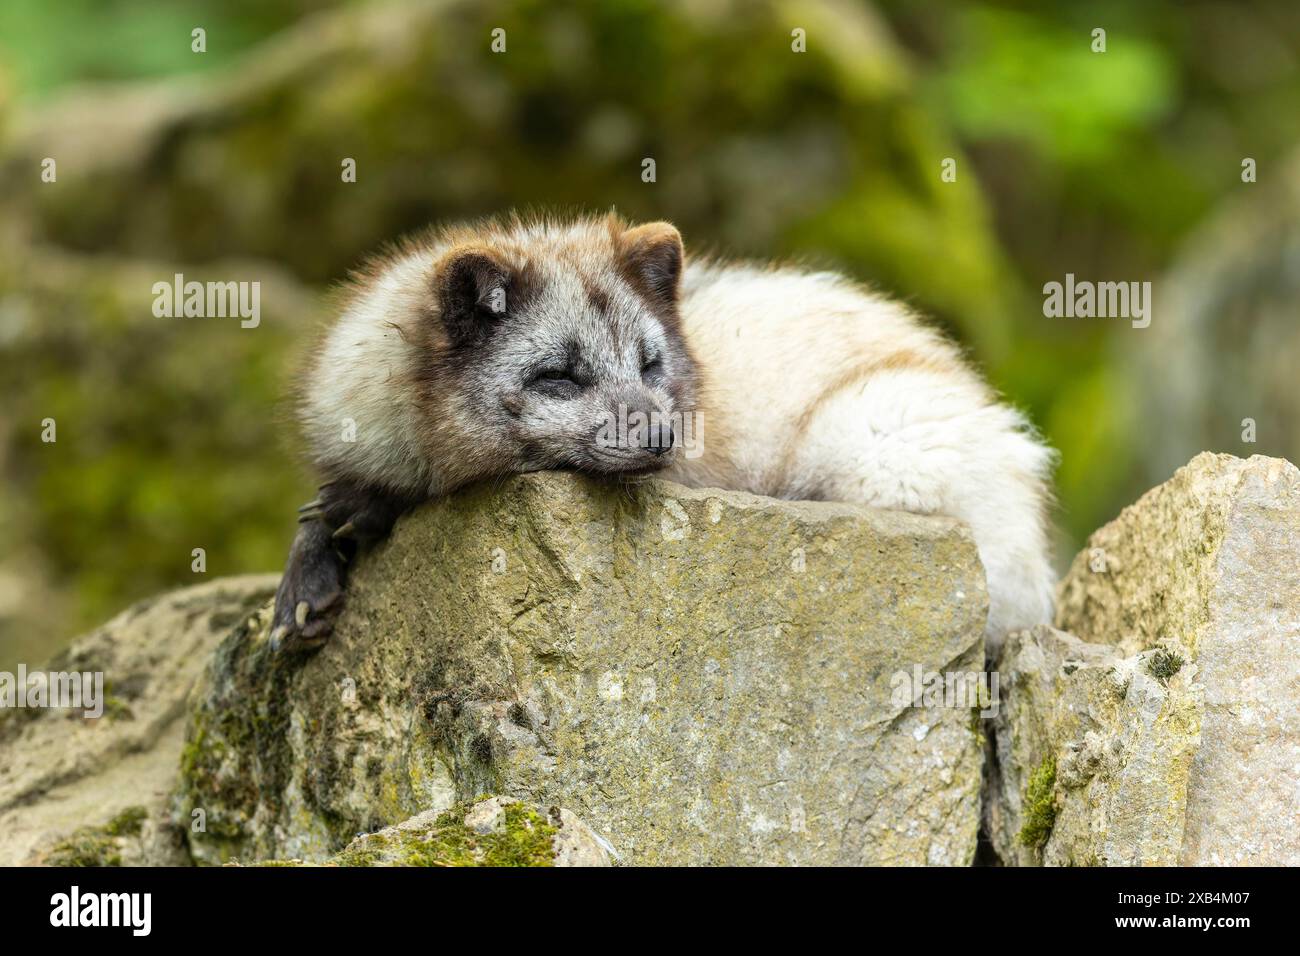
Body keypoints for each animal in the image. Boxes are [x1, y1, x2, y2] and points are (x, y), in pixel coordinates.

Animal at [271, 212, 1056, 653]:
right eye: (560, 375)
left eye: (650, 364)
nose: (661, 440)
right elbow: (322, 509)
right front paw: (309, 574)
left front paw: (352, 525)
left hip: (872, 450)